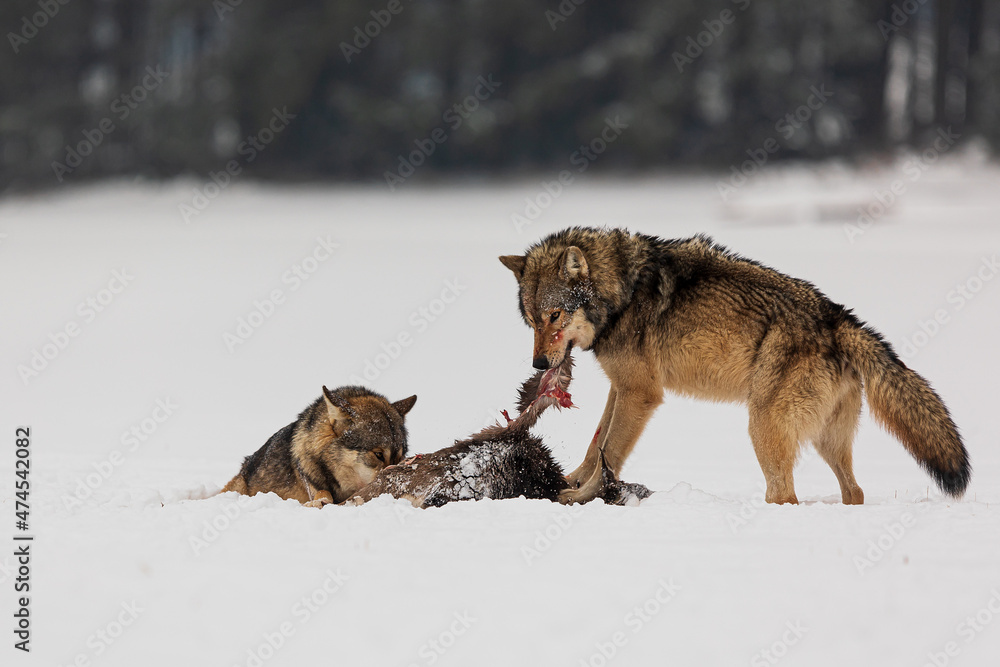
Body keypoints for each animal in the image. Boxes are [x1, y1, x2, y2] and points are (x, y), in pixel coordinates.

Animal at [499, 227, 971, 505]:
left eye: (555, 316)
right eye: (532, 319)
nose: (539, 362)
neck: (622, 292)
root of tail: (839, 319)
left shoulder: (642, 394)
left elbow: (610, 451)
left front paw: (581, 498)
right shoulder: (623, 387)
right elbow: (596, 440)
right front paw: (574, 480)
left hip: (763, 427)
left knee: (786, 496)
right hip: (824, 441)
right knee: (853, 491)